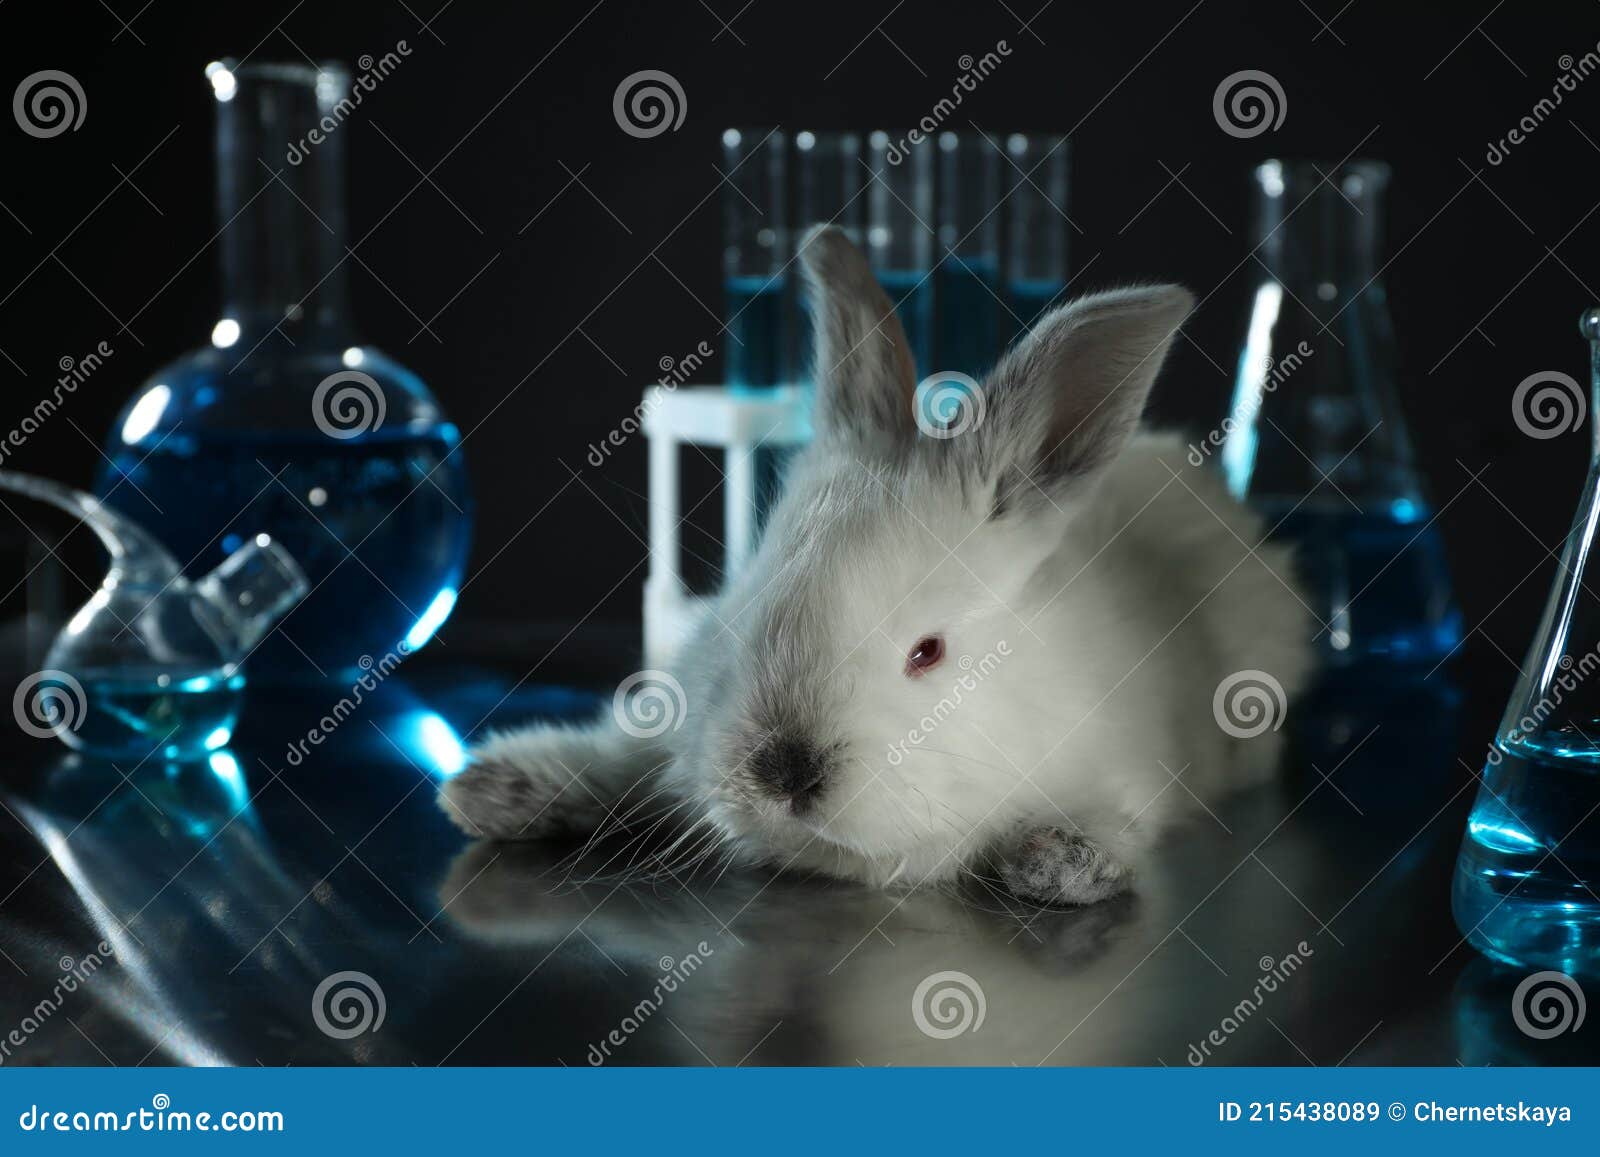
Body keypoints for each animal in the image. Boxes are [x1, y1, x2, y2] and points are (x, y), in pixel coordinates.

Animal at [439, 225, 1315, 907]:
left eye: (928, 652)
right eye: (747, 613)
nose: (783, 773)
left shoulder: (1127, 771)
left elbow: (1112, 820)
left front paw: (1059, 861)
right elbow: (626, 754)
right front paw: (490, 790)